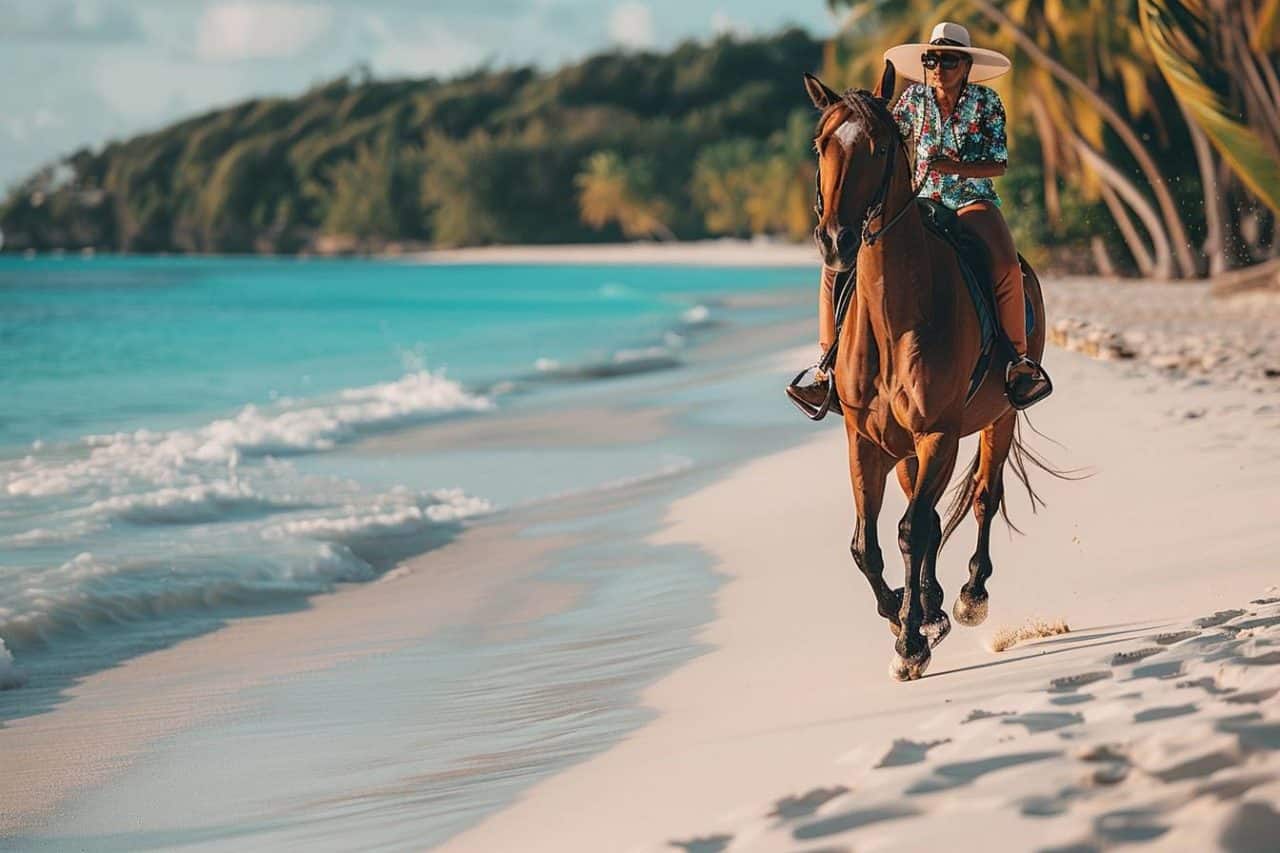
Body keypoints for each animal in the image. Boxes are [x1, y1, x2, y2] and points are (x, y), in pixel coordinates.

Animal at [804, 62, 1058, 681]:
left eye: (878, 145)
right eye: (821, 144)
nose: (837, 240)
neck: (895, 316)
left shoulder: (938, 432)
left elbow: (911, 529)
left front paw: (911, 640)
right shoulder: (865, 438)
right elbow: (867, 545)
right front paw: (906, 612)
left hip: (997, 420)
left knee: (984, 498)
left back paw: (968, 596)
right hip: (904, 450)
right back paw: (933, 602)